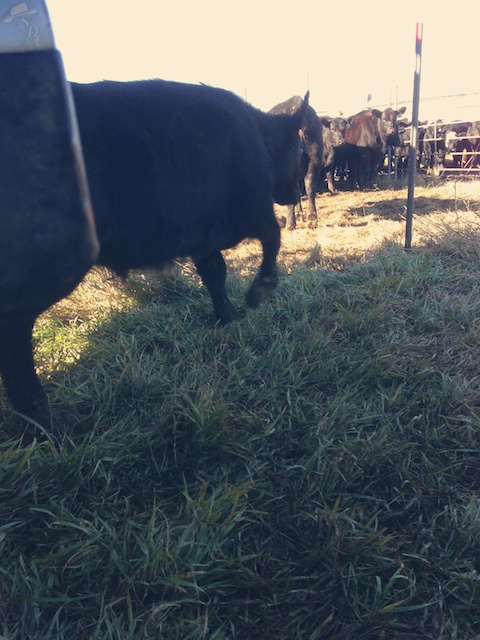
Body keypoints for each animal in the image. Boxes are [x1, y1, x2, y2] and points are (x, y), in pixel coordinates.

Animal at [0, 79, 308, 427]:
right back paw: (46, 420)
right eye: (299, 149)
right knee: (14, 335)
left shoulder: (204, 235)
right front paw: (258, 291)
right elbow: (273, 238)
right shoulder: (253, 207)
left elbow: (216, 272)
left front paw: (227, 314)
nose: (295, 194)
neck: (258, 134)